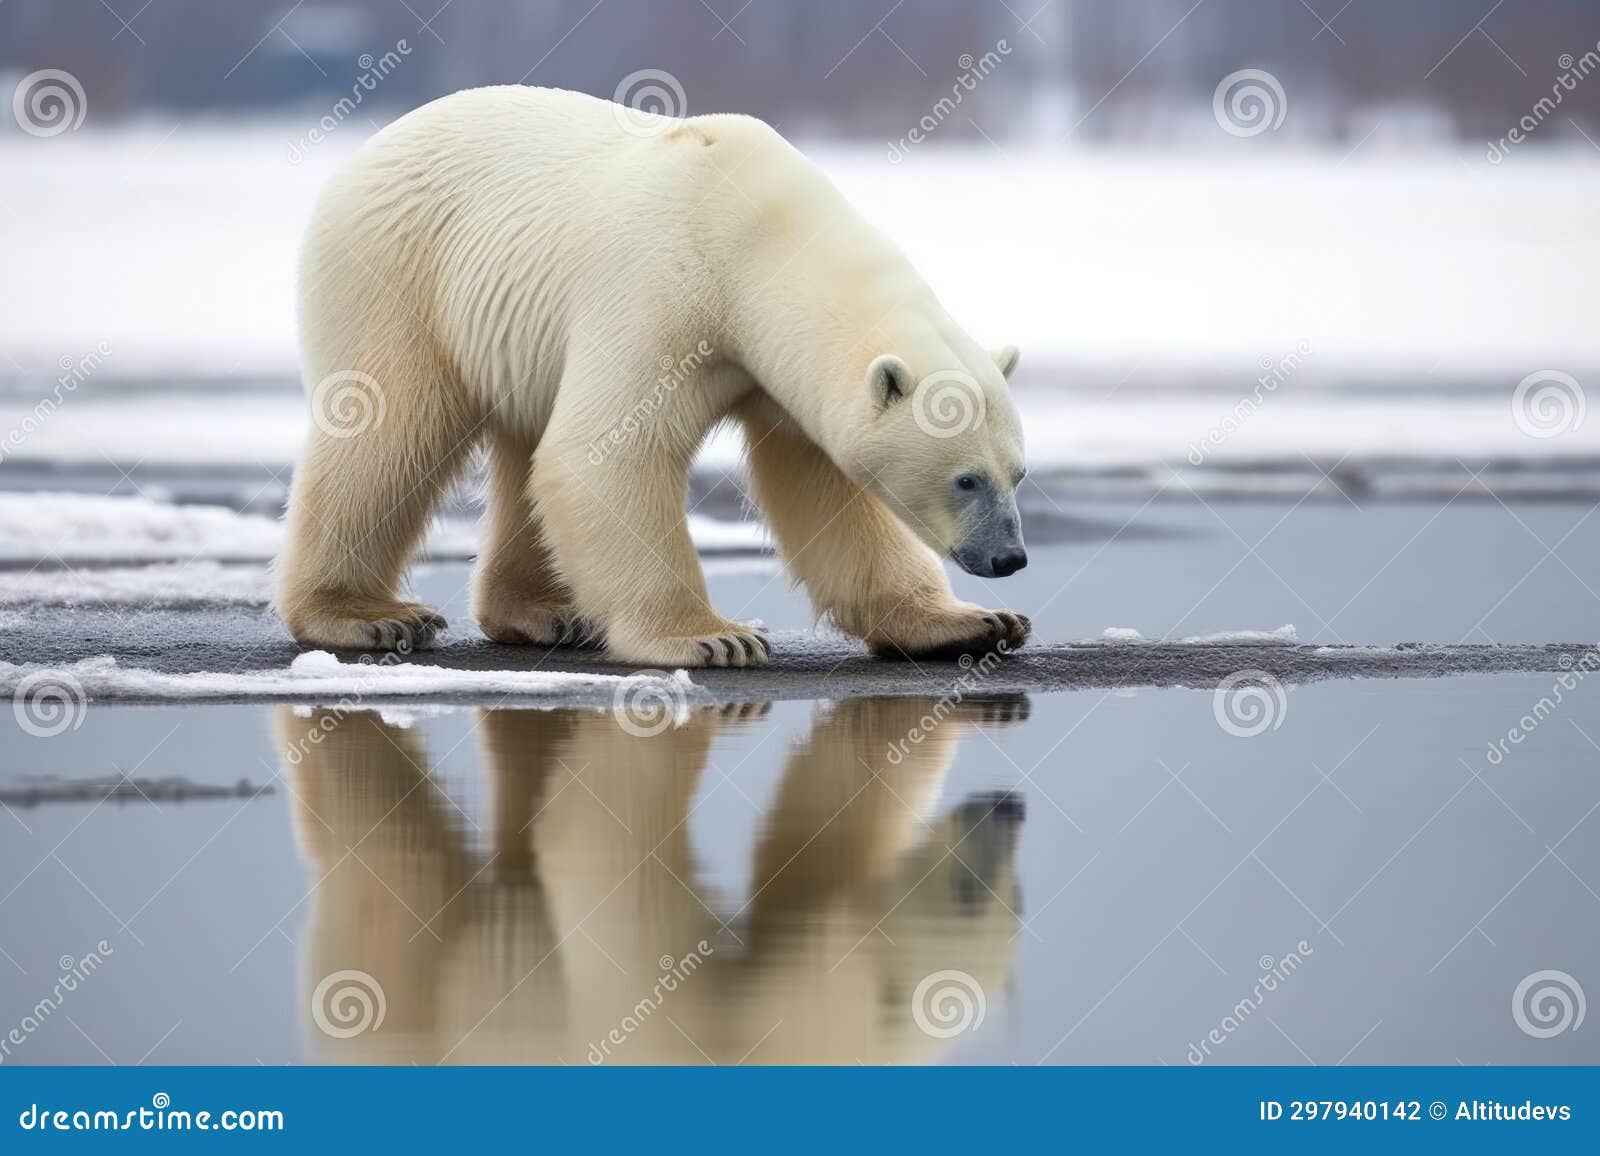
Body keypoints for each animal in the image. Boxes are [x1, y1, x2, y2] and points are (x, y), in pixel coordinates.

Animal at [276, 85, 1030, 668]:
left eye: (1017, 474)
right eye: (966, 479)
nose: (1010, 559)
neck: (759, 237)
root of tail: (364, 152)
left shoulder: (775, 373)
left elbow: (824, 492)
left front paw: (976, 622)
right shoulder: (666, 286)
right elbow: (605, 451)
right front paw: (714, 638)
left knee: (523, 450)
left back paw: (551, 614)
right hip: (396, 274)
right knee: (391, 430)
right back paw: (370, 615)